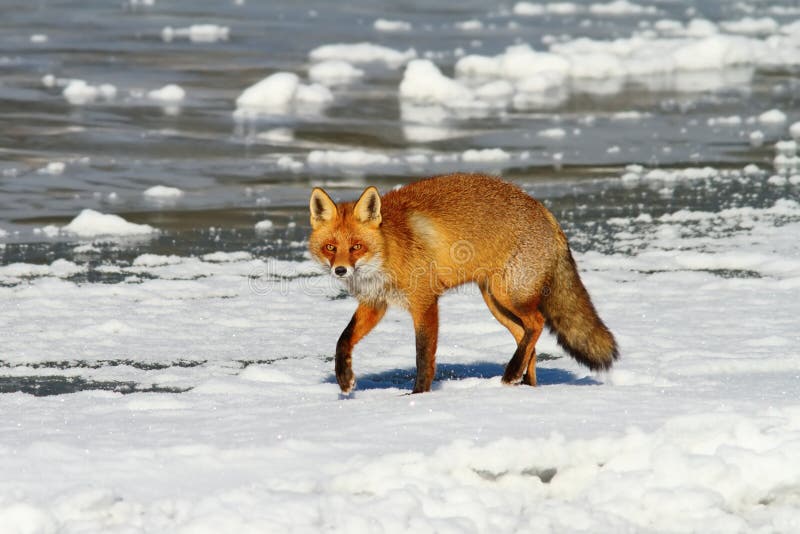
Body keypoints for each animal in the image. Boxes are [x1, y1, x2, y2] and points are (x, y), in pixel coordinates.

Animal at [308, 173, 617, 394]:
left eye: (357, 247)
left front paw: (418, 395)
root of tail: (544, 210)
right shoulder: (375, 303)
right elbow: (343, 339)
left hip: (508, 295)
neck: (390, 249)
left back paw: (512, 374)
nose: (340, 270)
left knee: (538, 323)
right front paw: (344, 378)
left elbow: (423, 356)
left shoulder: (425, 301)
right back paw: (525, 385)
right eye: (330, 247)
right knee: (526, 335)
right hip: (496, 302)